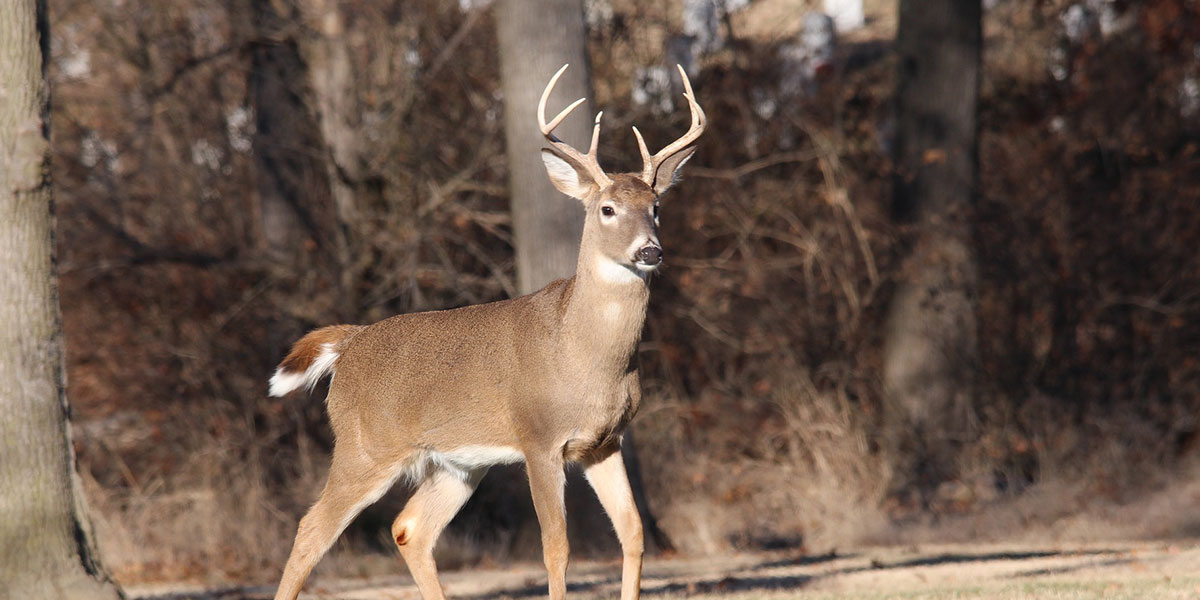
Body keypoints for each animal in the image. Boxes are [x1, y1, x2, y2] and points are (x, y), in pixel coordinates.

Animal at [267, 64, 705, 600]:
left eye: (657, 205)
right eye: (607, 209)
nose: (650, 251)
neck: (586, 357)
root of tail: (349, 343)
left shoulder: (605, 441)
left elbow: (634, 533)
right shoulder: (539, 437)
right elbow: (556, 548)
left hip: (457, 464)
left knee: (409, 528)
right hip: (364, 446)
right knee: (312, 528)